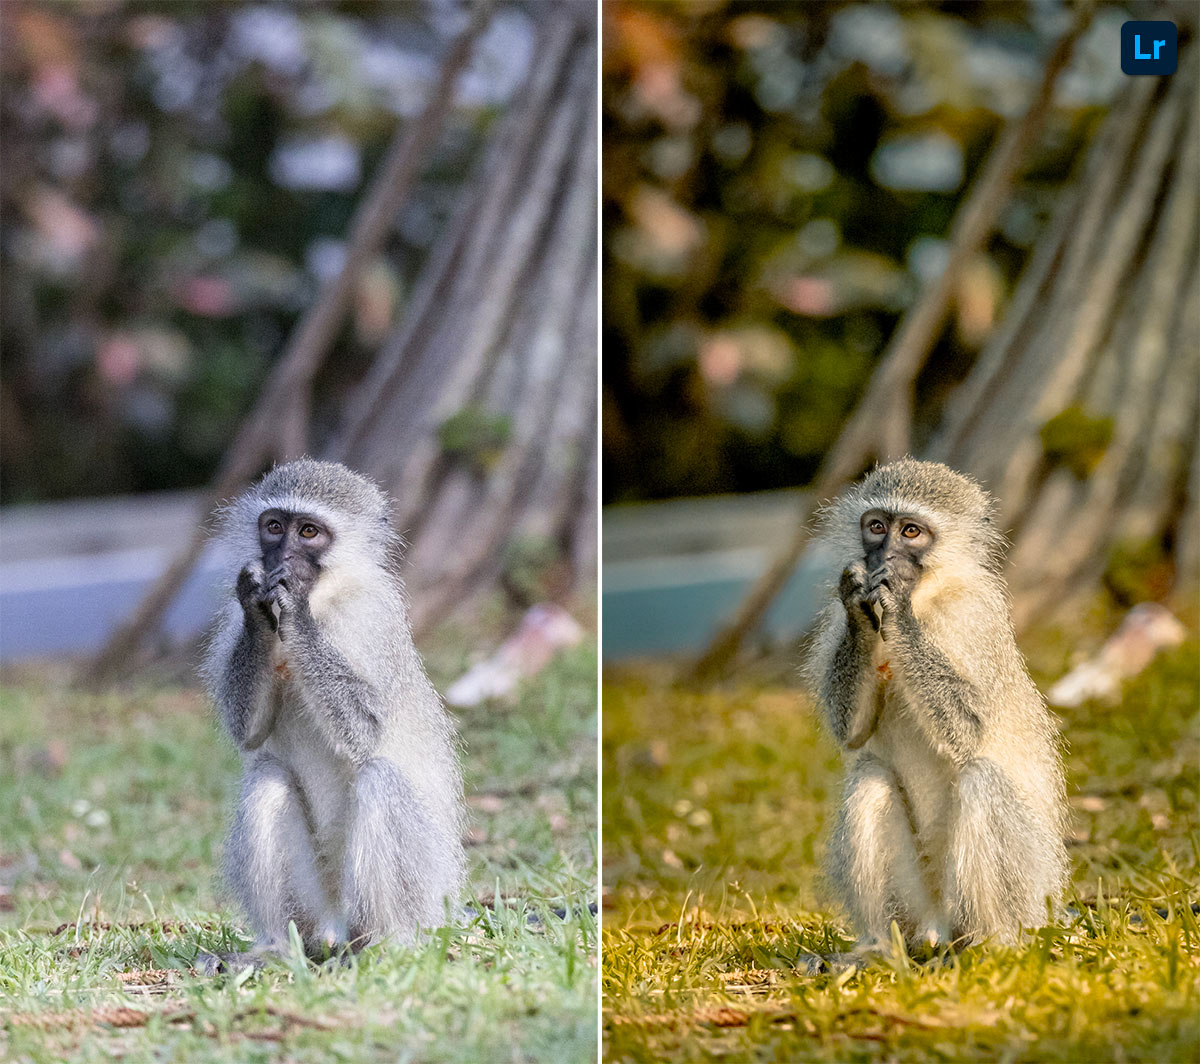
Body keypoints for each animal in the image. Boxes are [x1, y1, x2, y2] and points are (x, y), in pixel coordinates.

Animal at [199, 459, 465, 970]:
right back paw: (277, 948)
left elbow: (368, 731)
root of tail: (338, 924)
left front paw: (293, 604)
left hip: (425, 890)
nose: (280, 557)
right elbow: (249, 733)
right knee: (268, 778)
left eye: (309, 532)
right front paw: (257, 599)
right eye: (274, 526)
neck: (326, 598)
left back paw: (388, 945)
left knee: (380, 780)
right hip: (315, 902)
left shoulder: (373, 617)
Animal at [804, 459, 1068, 956]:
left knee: (982, 779)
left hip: (1027, 892)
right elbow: (852, 732)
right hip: (915, 904)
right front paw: (859, 599)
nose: (882, 557)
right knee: (870, 776)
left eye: (911, 531)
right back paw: (878, 949)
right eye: (876, 526)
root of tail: (939, 925)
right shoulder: (835, 619)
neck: (929, 595)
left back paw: (995, 946)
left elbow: (971, 731)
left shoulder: (975, 616)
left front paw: (895, 601)